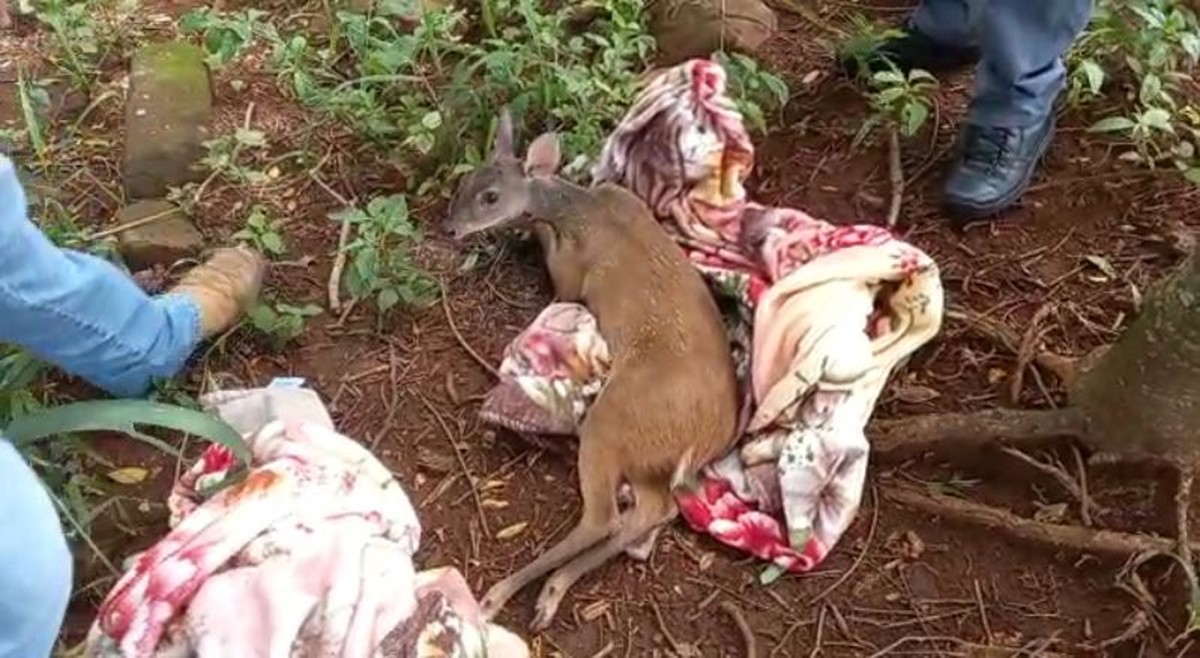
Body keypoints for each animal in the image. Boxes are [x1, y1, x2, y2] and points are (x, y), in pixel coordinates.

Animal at [444, 108, 740, 631]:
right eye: (466, 181)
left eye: (491, 196)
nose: (449, 228)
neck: (574, 212)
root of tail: (704, 436)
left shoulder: (569, 278)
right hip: (648, 454)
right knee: (653, 510)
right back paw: (556, 586)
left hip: (612, 420)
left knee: (605, 516)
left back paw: (511, 594)